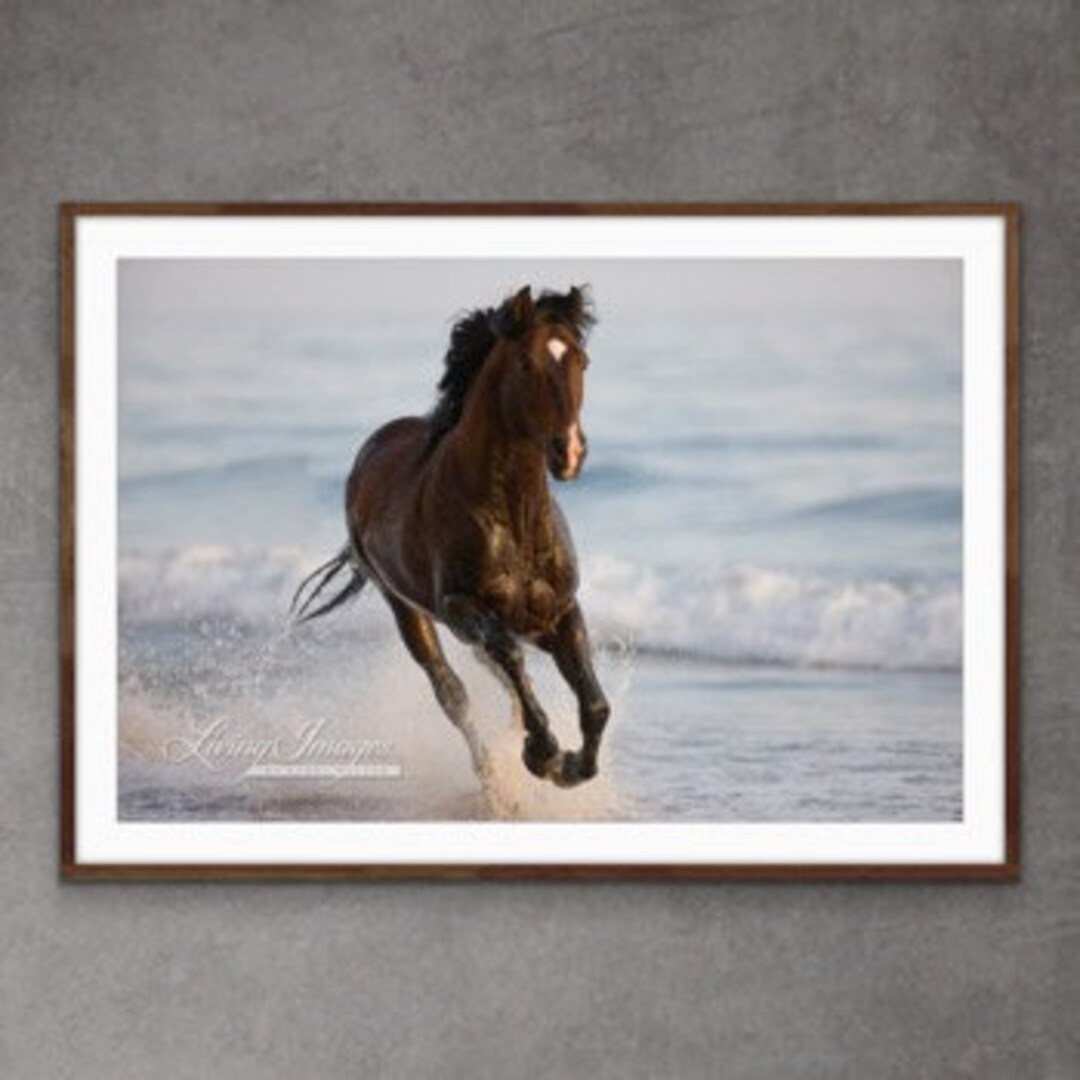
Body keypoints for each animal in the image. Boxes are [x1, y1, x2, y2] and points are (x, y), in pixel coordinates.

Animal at [290, 285, 610, 789]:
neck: (514, 519)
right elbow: (508, 661)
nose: (570, 452)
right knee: (453, 694)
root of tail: (368, 452)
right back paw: (494, 783)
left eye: (583, 359)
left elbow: (594, 703)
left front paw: (572, 767)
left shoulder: (558, 612)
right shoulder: (460, 607)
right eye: (527, 363)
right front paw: (543, 755)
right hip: (407, 610)